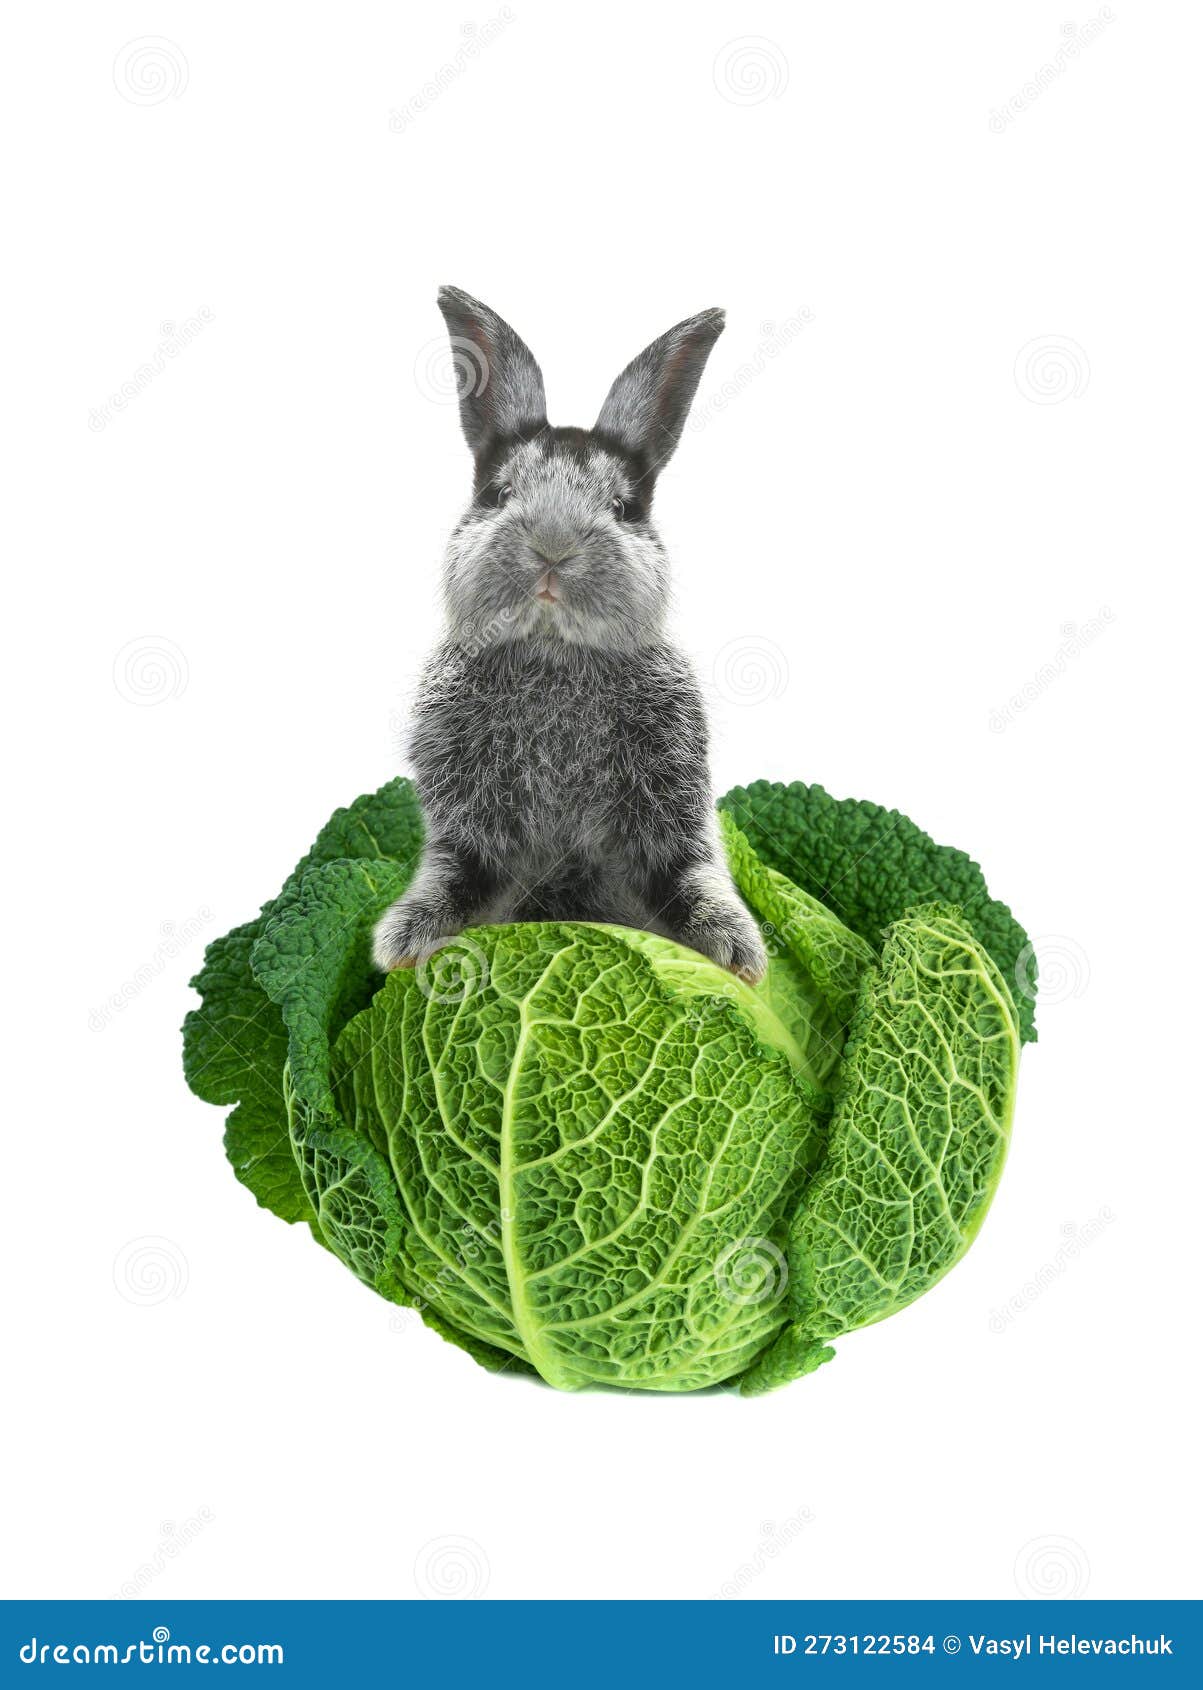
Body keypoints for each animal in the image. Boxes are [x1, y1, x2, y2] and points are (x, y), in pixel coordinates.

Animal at [372, 286, 768, 984]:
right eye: (499, 494)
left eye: (622, 508)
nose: (552, 548)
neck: (555, 653)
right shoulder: (469, 827)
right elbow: (456, 878)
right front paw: (403, 945)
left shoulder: (670, 808)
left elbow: (688, 876)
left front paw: (740, 957)